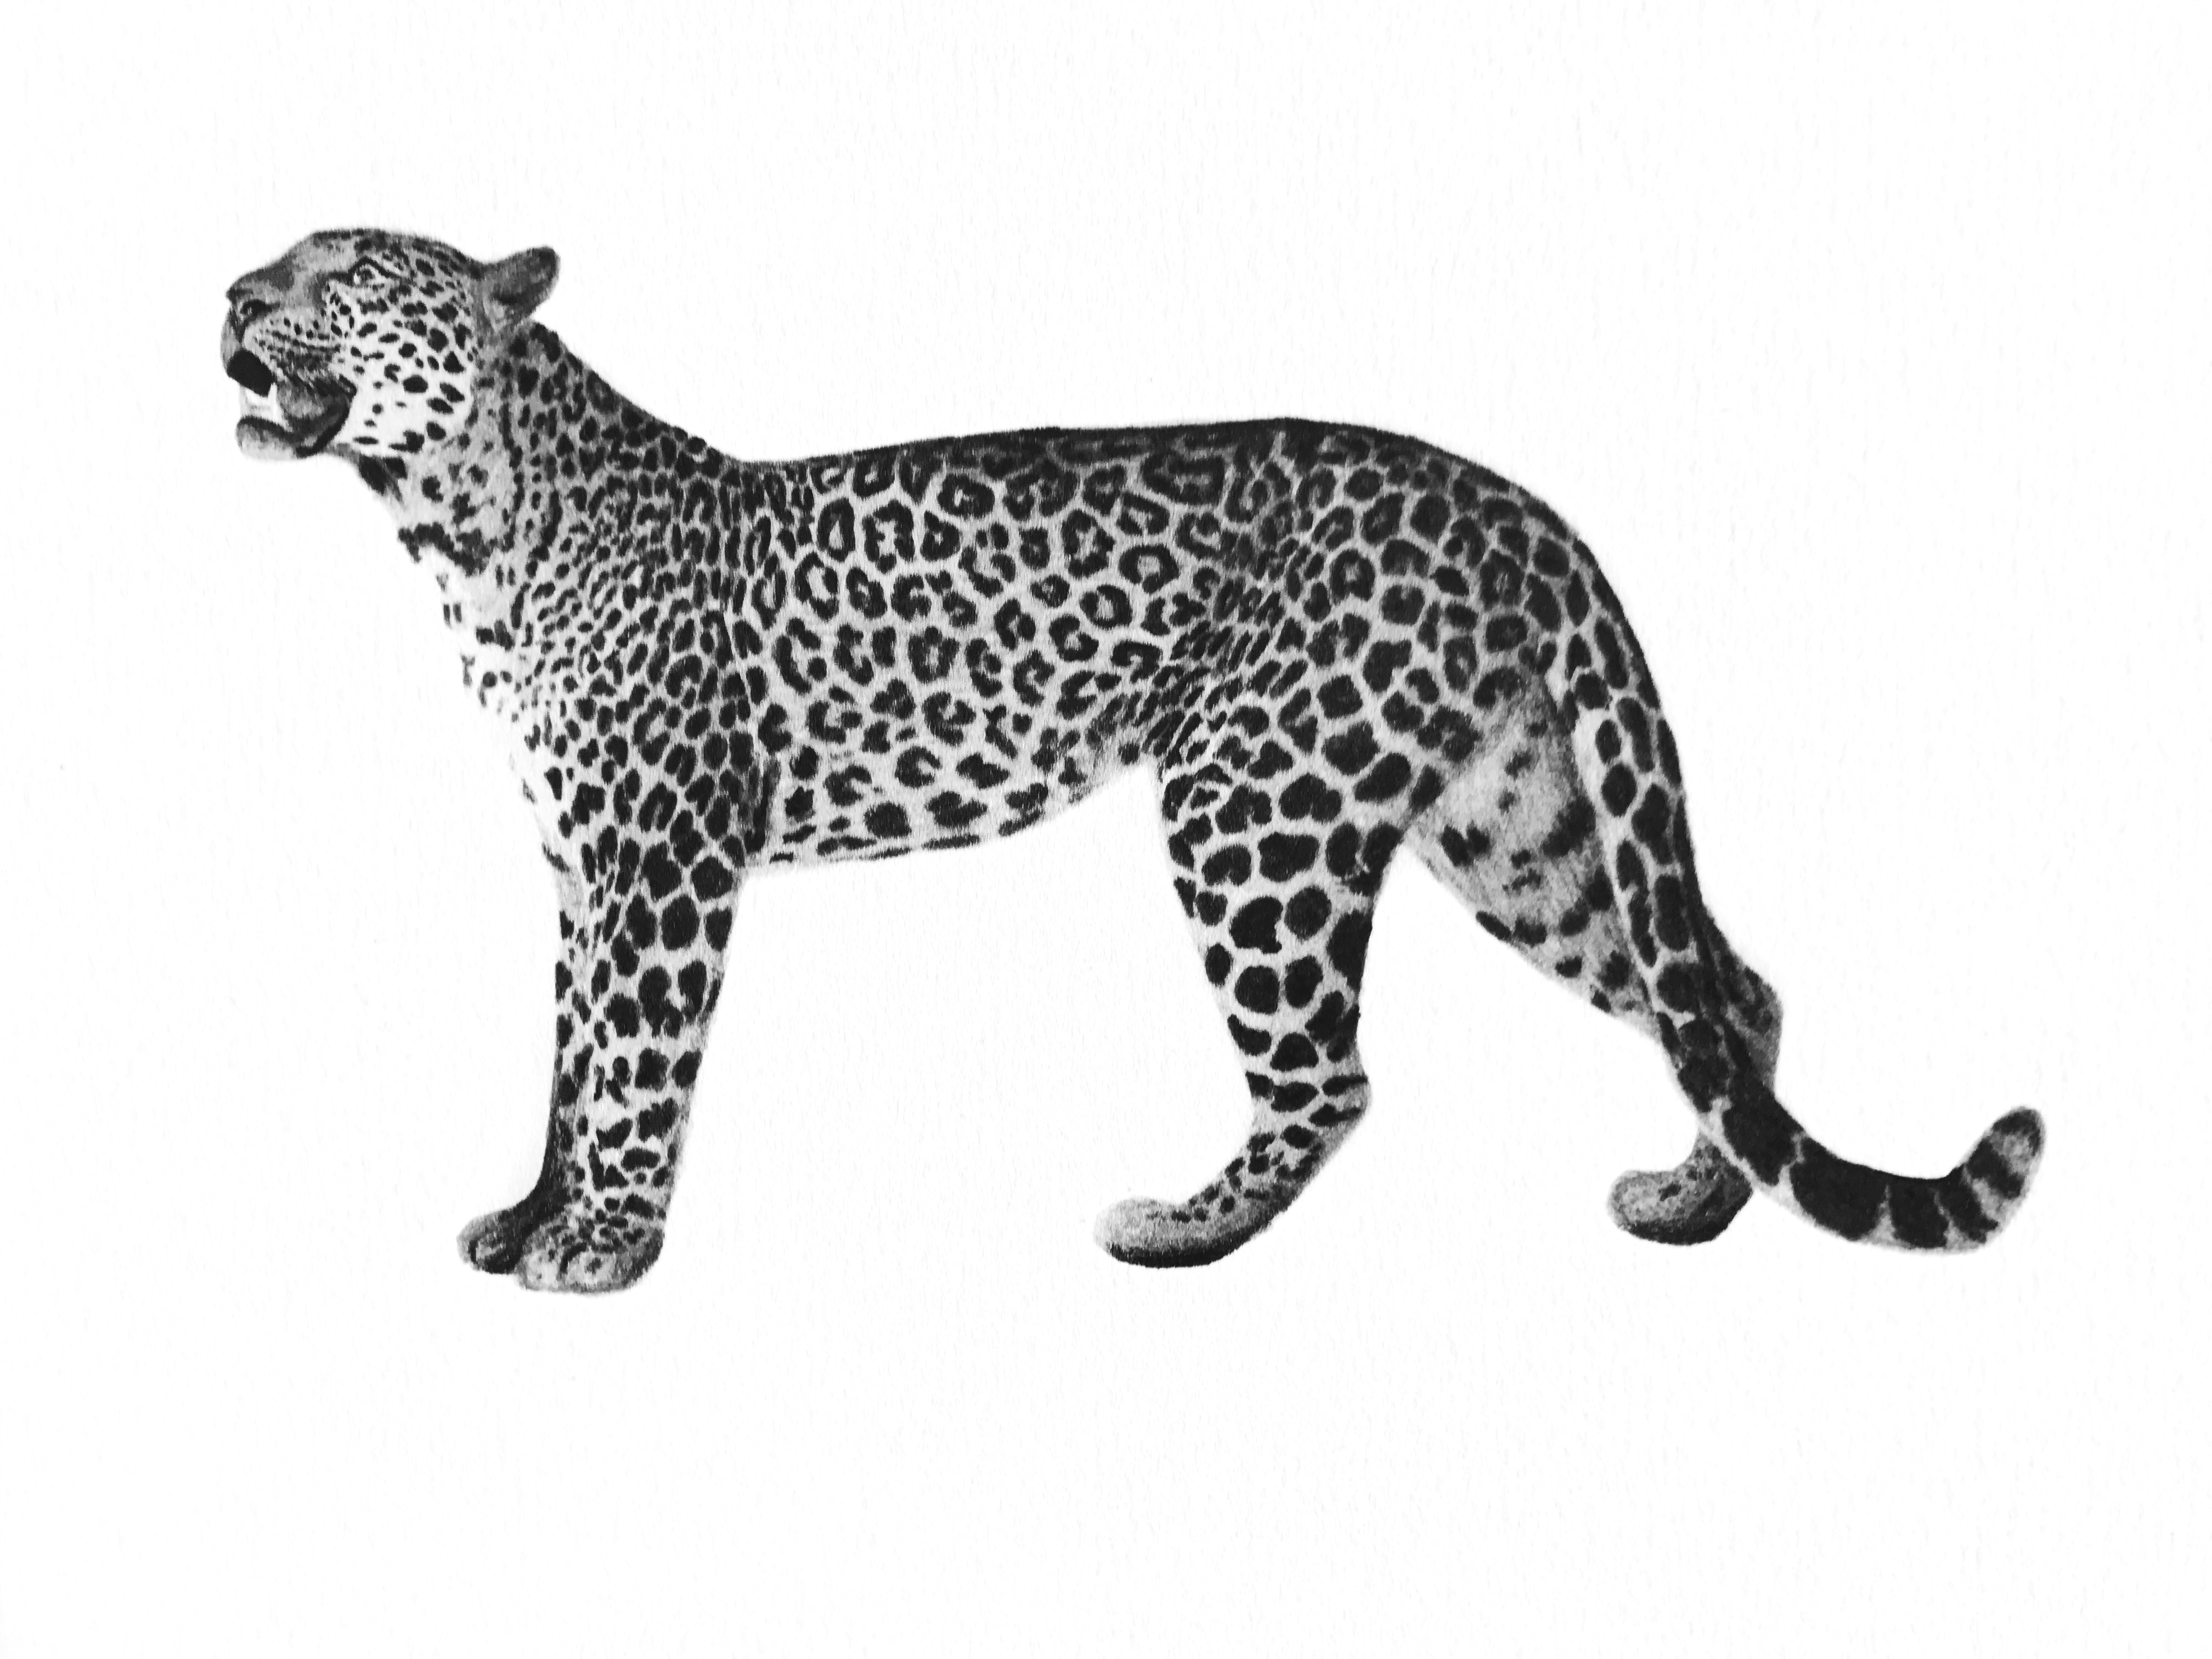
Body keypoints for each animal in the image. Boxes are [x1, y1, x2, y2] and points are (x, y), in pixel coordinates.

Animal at [220, 228, 2046, 1292]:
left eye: (342, 271)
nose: (230, 294)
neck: (460, 529)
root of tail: (1522, 511)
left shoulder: (661, 861)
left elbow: (634, 1063)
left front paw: (604, 1246)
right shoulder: (579, 862)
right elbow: (567, 1051)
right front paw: (532, 1217)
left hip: (1255, 805)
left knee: (1333, 1075)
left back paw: (1179, 1229)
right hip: (1515, 821)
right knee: (1721, 992)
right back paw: (1691, 1201)